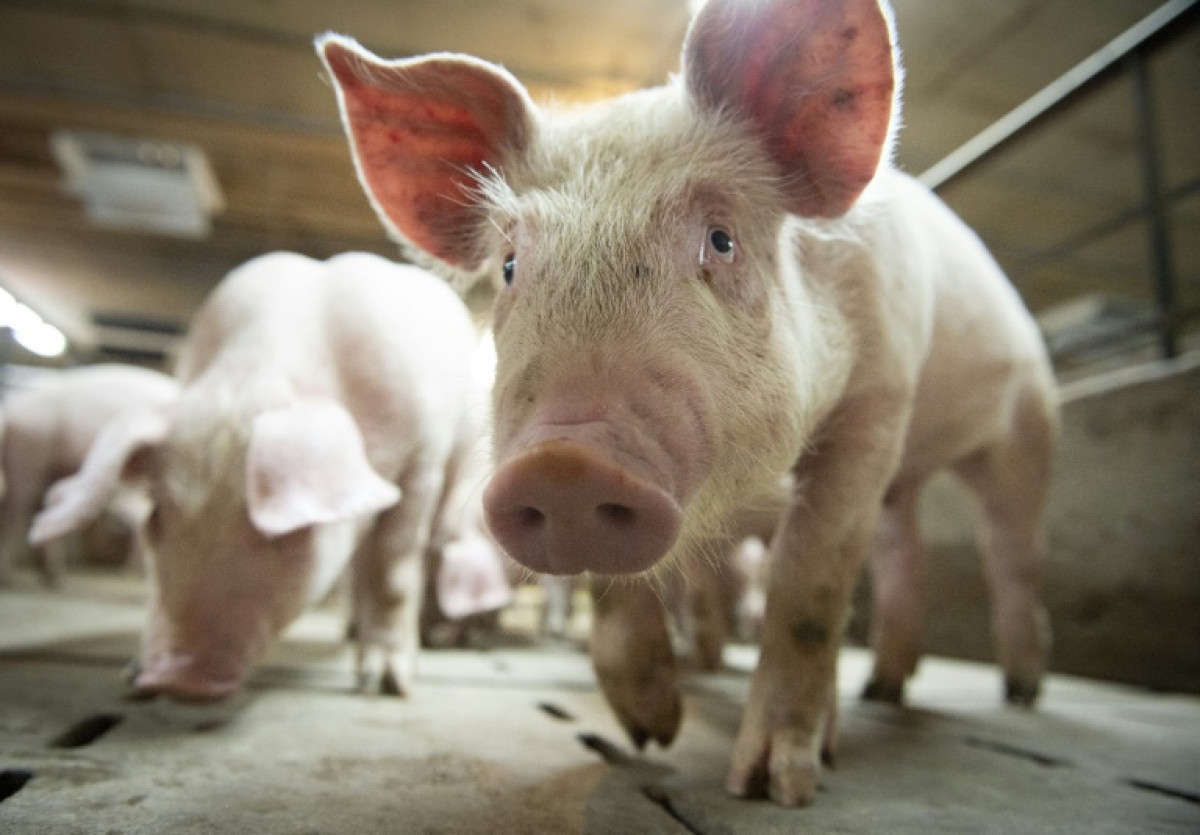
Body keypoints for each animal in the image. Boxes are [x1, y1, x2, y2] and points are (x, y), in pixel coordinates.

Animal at [30, 252, 482, 702]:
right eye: (156, 515)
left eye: (284, 533)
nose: (176, 677)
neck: (248, 386)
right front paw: (131, 677)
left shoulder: (423, 457)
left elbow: (393, 571)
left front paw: (388, 686)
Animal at [319, 0, 1057, 807]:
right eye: (510, 266)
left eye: (721, 240)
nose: (564, 462)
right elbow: (614, 588)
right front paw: (650, 731)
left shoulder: (880, 395)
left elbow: (810, 581)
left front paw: (773, 787)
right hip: (909, 484)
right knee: (902, 554)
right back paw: (881, 691)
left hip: (1027, 425)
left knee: (1011, 551)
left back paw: (1019, 695)